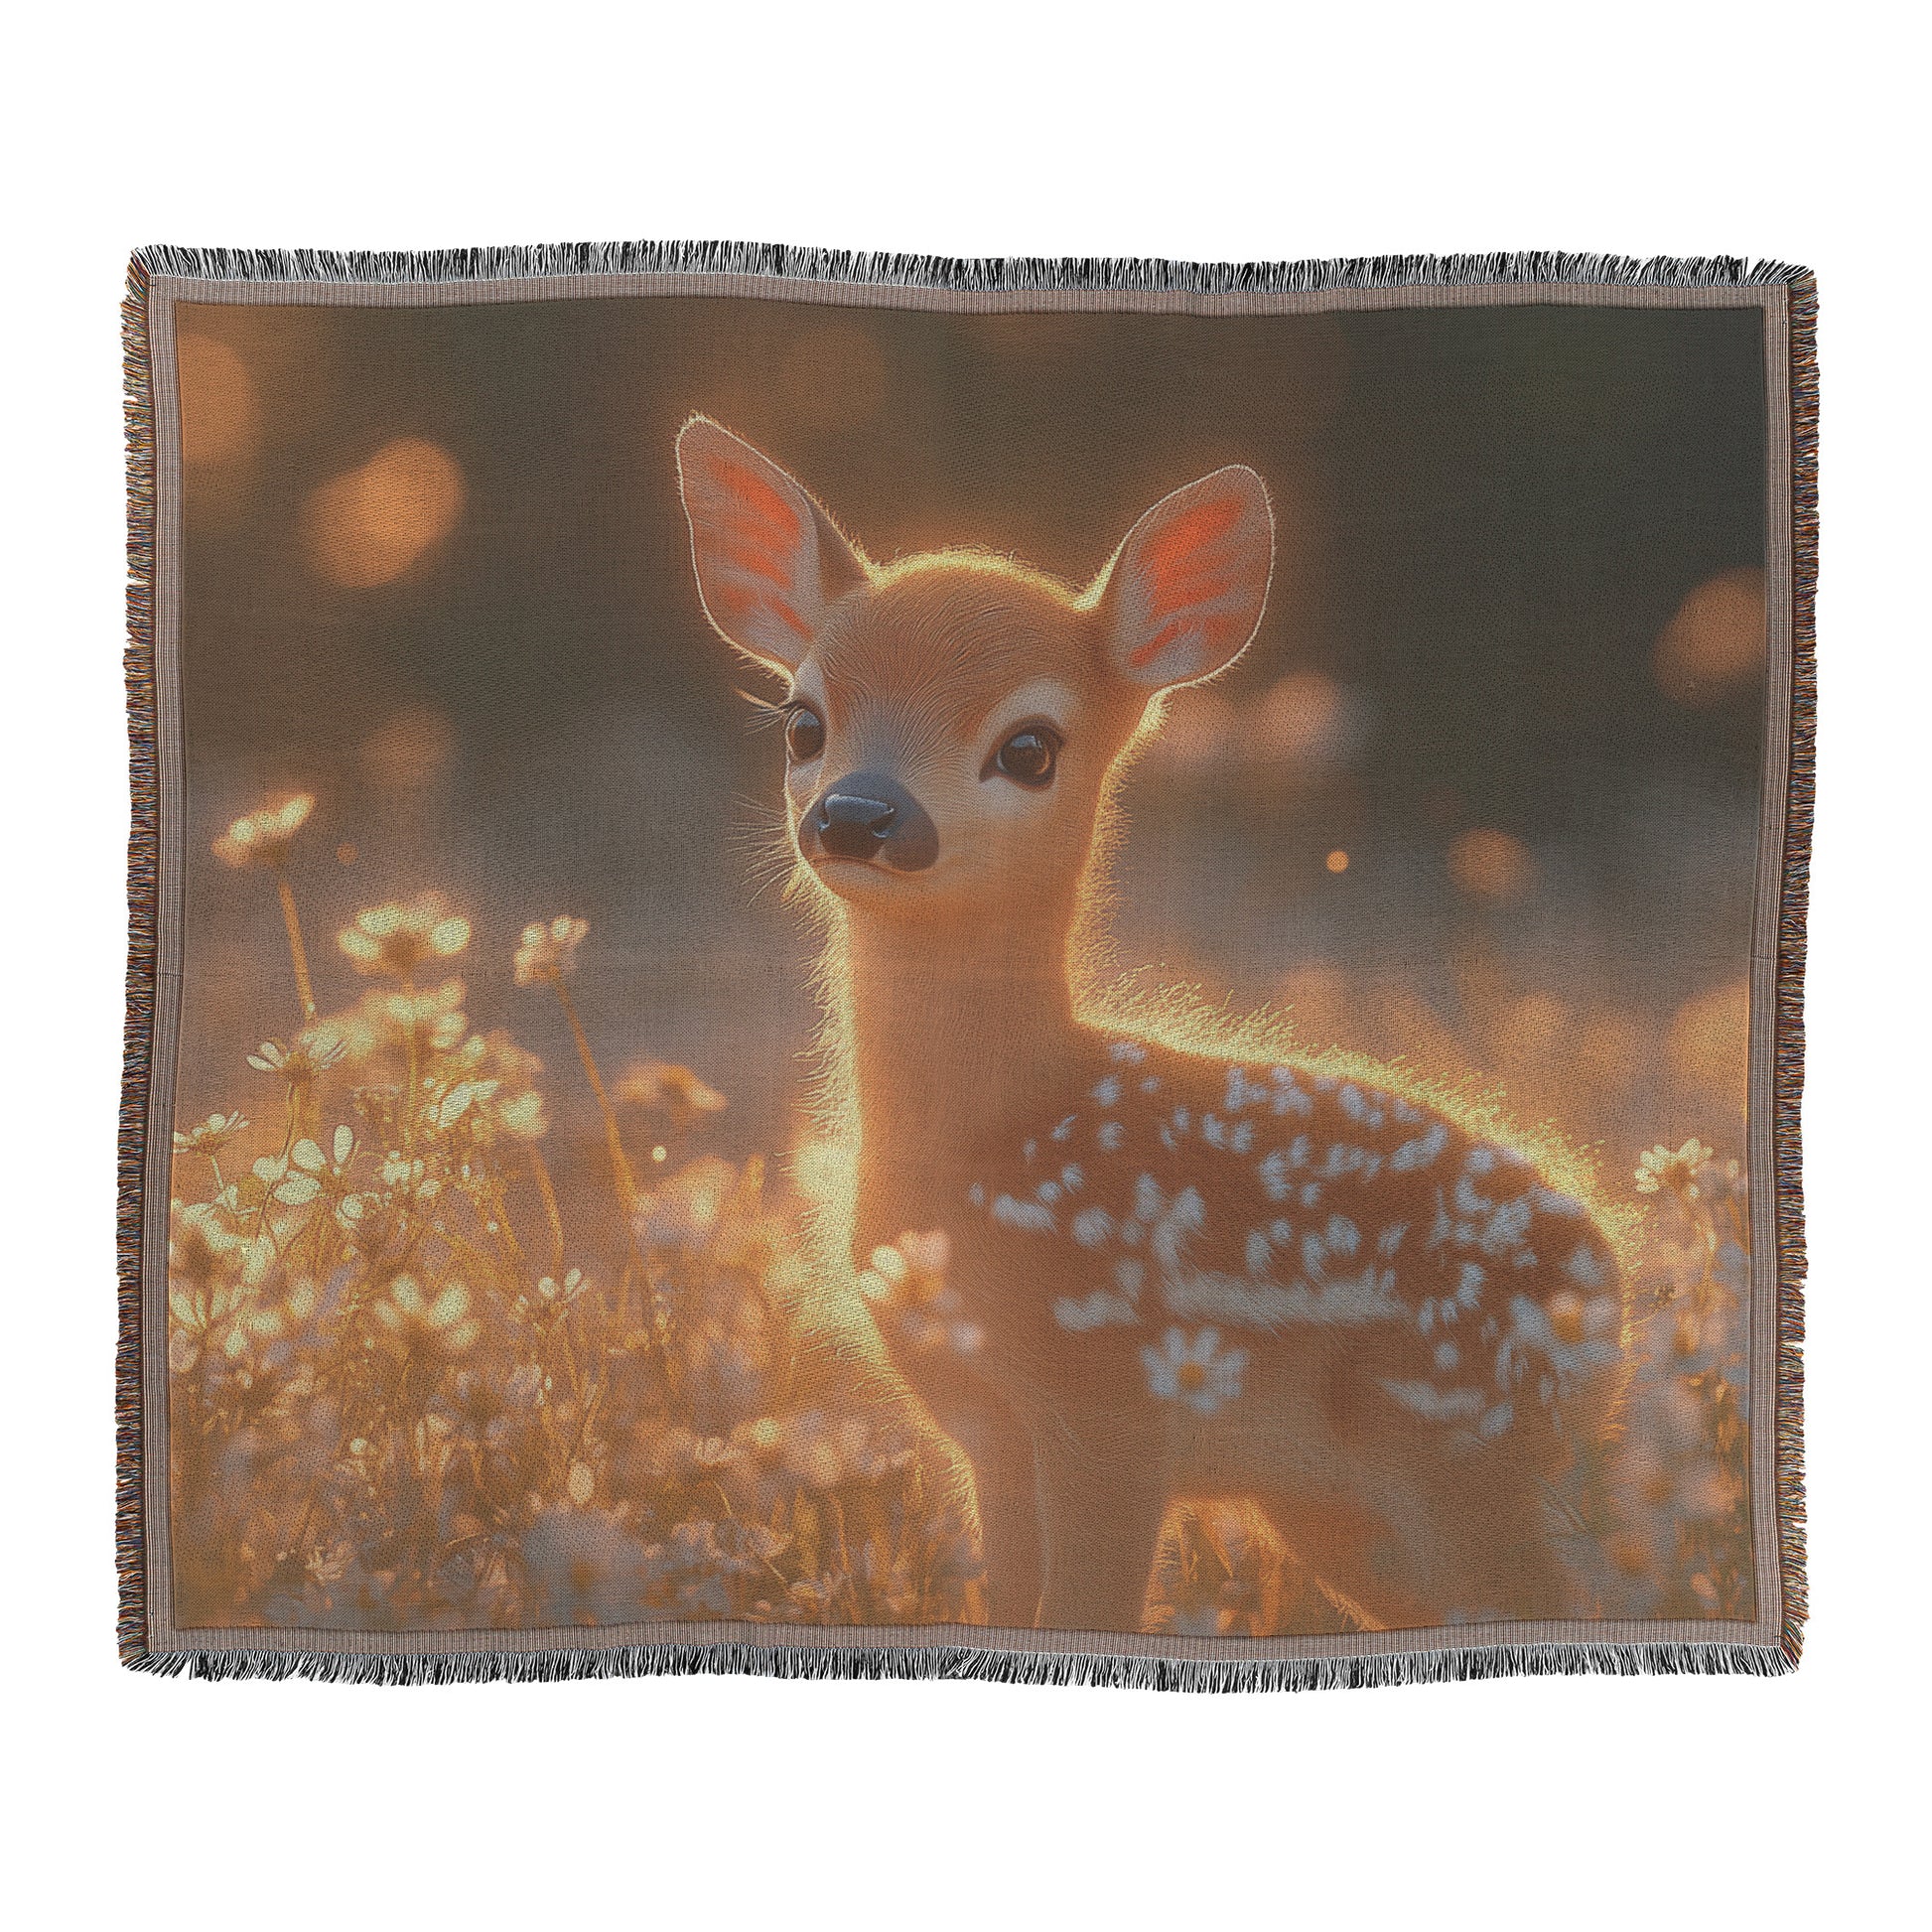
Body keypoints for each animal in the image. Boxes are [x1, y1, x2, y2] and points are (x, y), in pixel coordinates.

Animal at [674, 414, 1630, 1637]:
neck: (989, 1138)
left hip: (1464, 1441)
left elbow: (1089, 1603)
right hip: (1346, 1507)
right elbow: (1012, 1602)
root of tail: (1611, 1299)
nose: (859, 813)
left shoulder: (1111, 1396)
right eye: (805, 722)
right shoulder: (988, 1426)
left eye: (1029, 746)